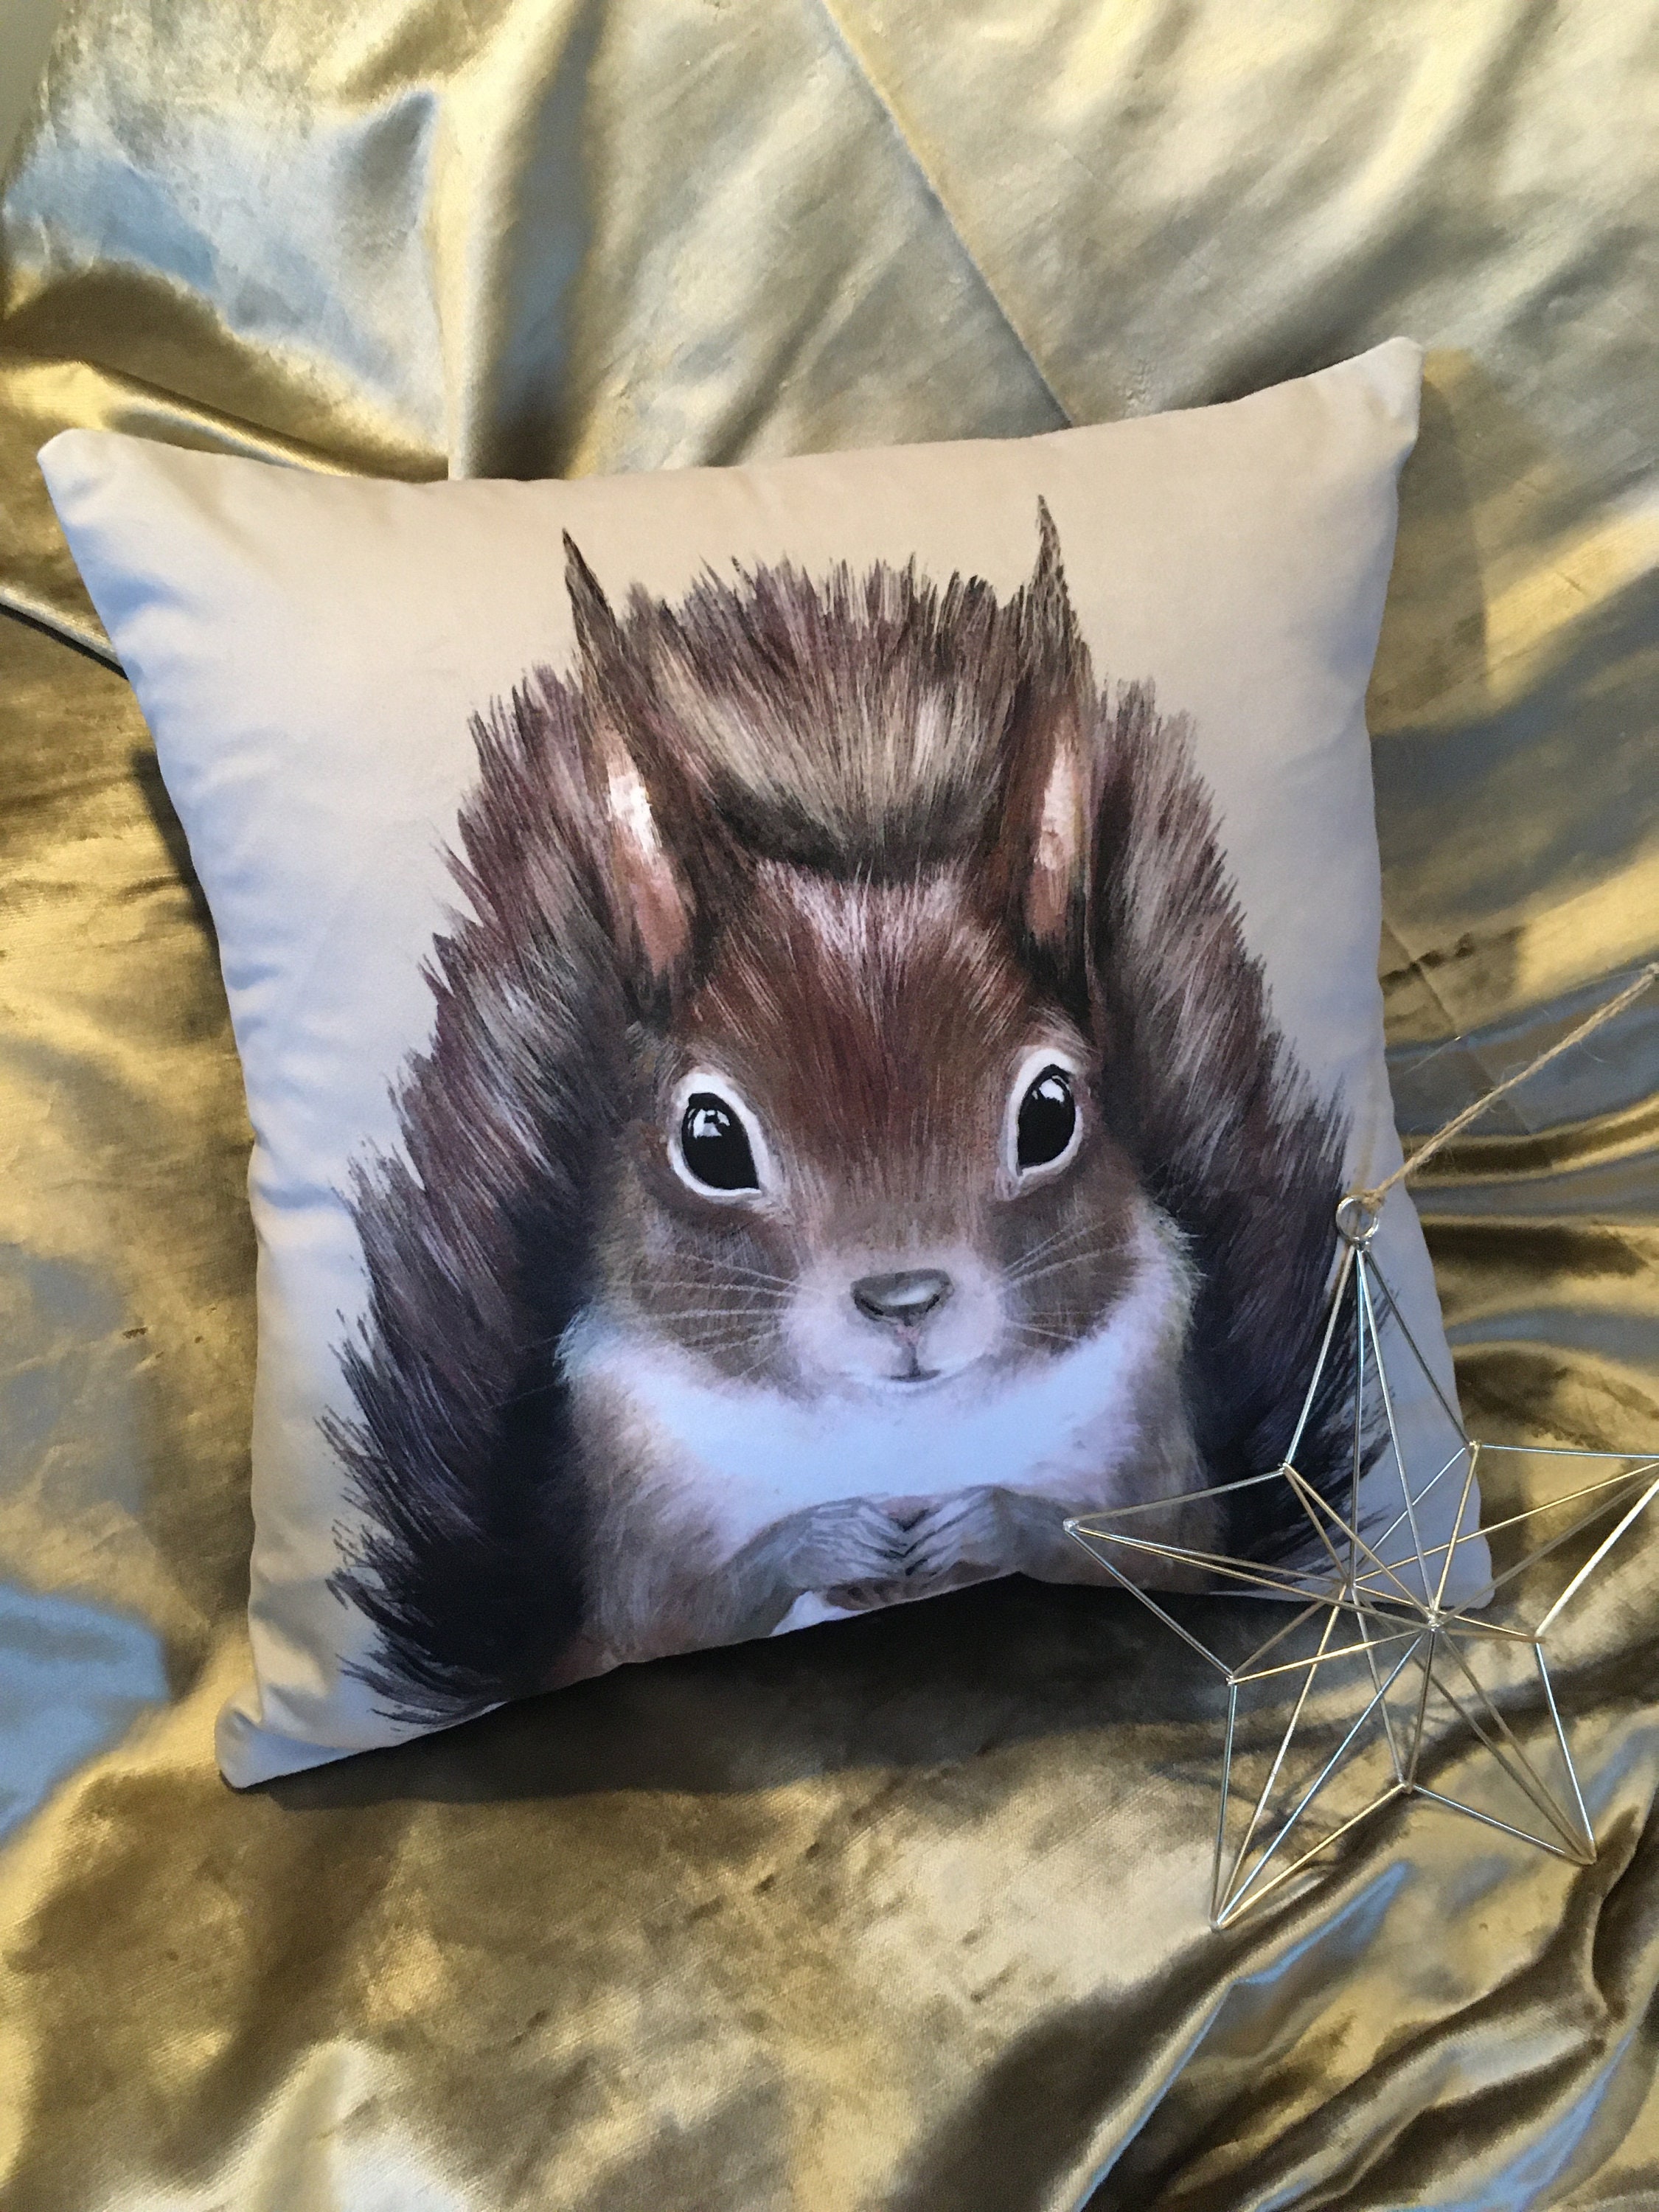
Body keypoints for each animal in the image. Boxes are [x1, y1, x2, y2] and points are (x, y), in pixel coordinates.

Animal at [327, 506, 1356, 1724]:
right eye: (709, 1139)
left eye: (1049, 1112)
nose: (902, 1301)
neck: (892, 1435)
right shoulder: (638, 1515)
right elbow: (672, 1620)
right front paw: (823, 1539)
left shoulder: (1150, 1449)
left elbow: (1135, 1549)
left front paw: (986, 1517)